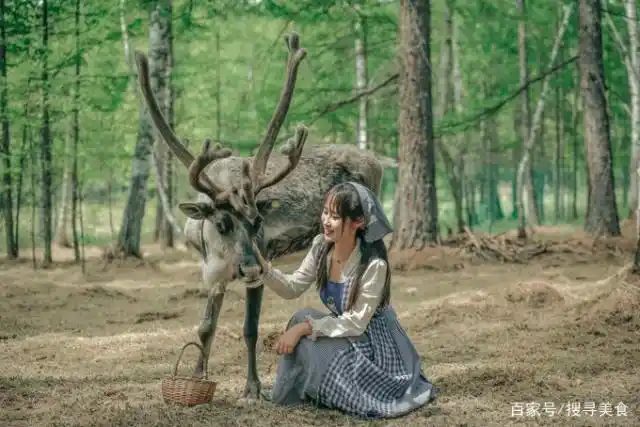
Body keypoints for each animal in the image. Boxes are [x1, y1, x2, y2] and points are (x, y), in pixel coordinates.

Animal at [134, 32, 385, 404]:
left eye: (257, 223)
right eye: (222, 223)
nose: (252, 269)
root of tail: (375, 160)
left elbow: (249, 329)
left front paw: (252, 388)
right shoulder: (214, 274)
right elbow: (205, 327)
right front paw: (197, 376)